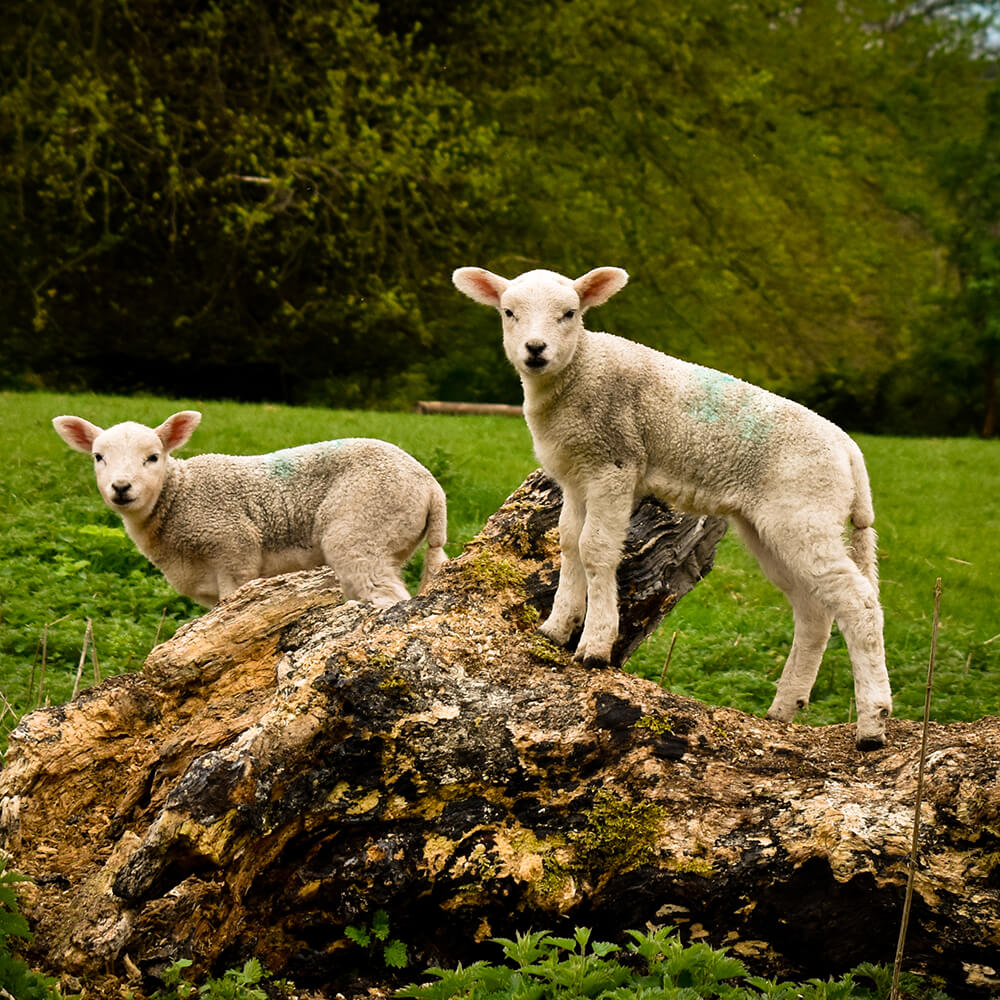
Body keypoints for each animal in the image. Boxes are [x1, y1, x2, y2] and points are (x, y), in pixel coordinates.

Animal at [52, 410, 448, 608]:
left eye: (153, 457)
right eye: (98, 457)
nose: (121, 488)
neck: (177, 496)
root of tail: (431, 487)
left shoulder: (234, 549)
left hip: (365, 522)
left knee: (386, 595)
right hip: (390, 538)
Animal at [452, 265, 893, 750]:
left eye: (570, 313)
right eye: (508, 312)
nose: (535, 350)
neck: (578, 371)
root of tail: (849, 449)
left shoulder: (614, 464)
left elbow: (596, 550)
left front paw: (595, 646)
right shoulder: (575, 477)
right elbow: (568, 545)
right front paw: (556, 628)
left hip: (806, 509)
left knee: (857, 600)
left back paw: (872, 725)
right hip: (773, 523)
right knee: (814, 611)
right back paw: (783, 709)